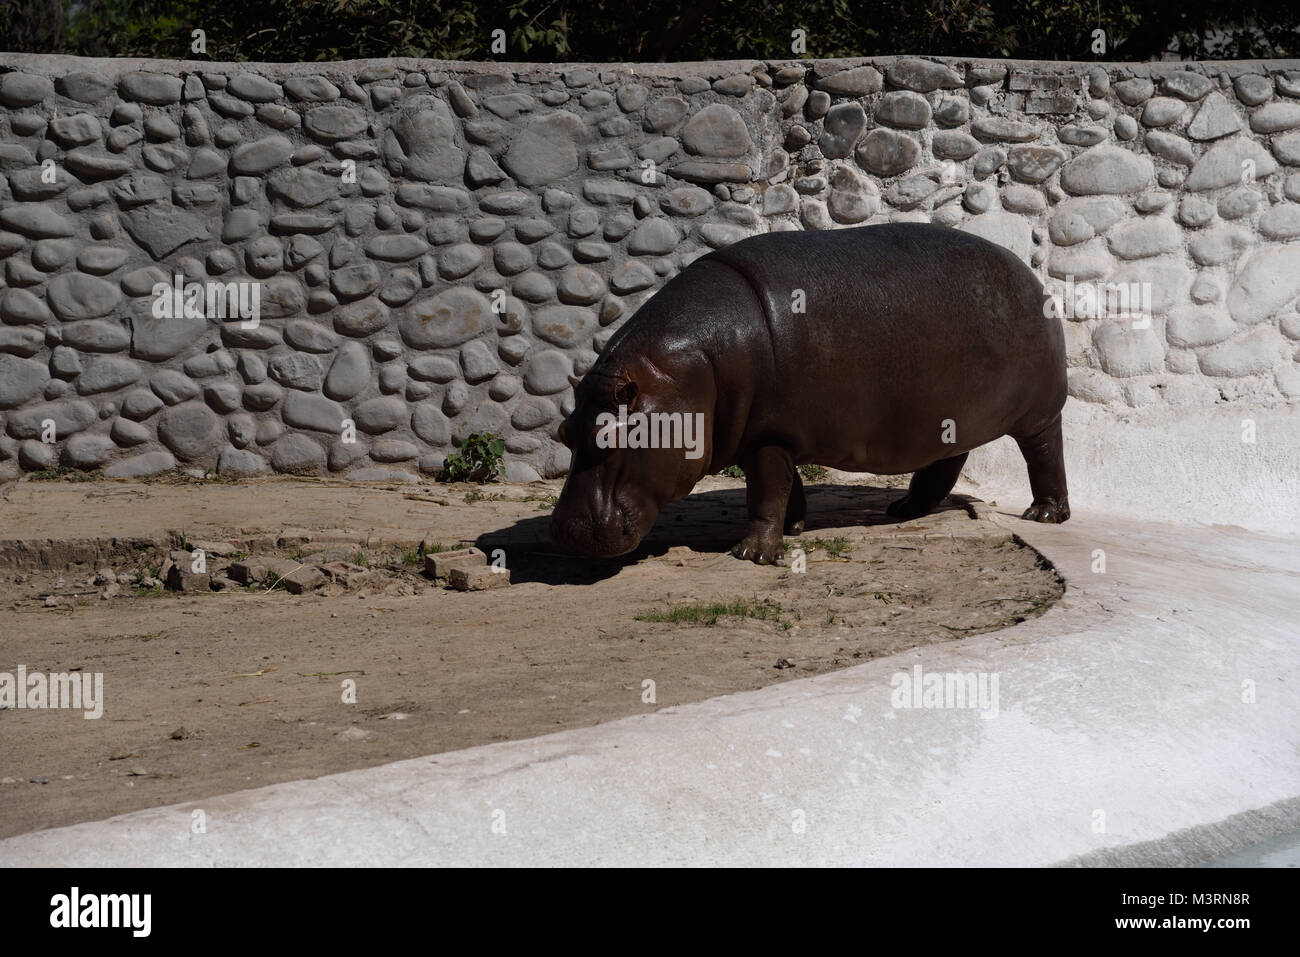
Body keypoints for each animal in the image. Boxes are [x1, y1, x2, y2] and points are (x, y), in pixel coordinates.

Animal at [550, 222, 1069, 564]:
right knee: (945, 461)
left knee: (1044, 455)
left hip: (1040, 413)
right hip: (948, 416)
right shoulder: (770, 434)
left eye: (614, 439)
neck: (690, 372)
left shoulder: (768, 437)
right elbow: (785, 487)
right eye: (565, 432)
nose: (567, 534)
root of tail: (1029, 273)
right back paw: (902, 510)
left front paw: (751, 555)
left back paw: (1044, 515)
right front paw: (794, 528)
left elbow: (765, 493)